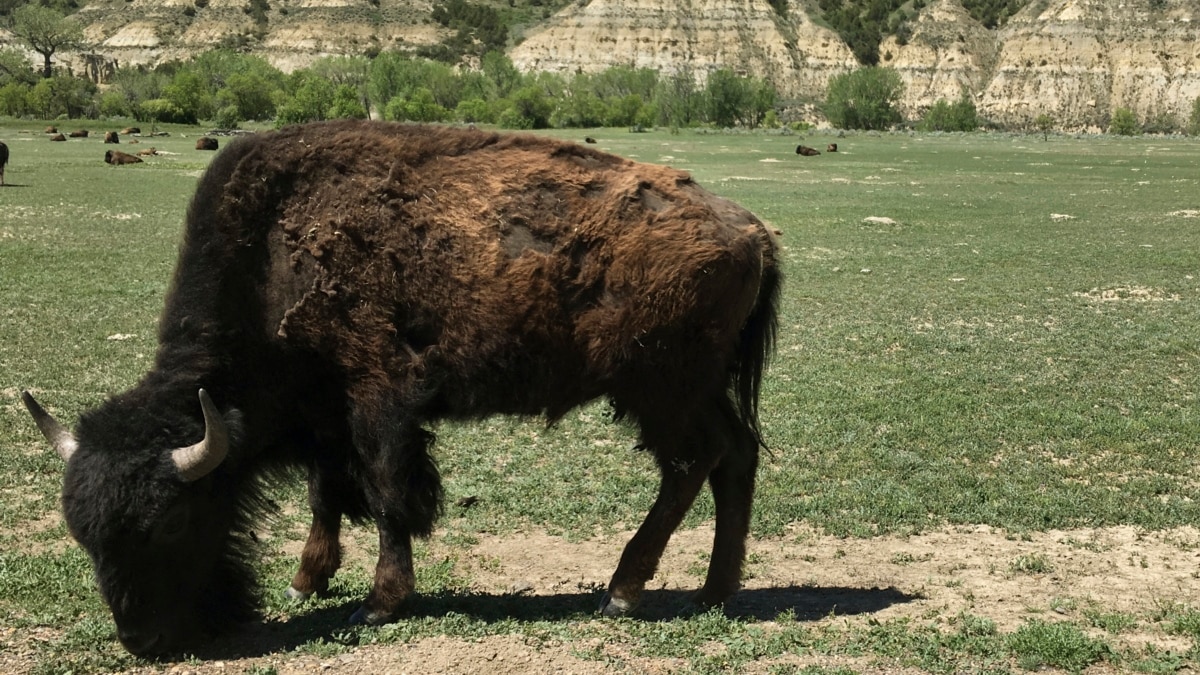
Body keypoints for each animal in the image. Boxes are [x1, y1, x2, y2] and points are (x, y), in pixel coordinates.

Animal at [23, 120, 780, 657]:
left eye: (174, 521)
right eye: (83, 535)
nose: (143, 639)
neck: (271, 255)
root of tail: (753, 231)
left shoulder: (378, 399)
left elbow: (388, 494)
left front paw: (380, 602)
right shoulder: (326, 413)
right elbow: (329, 493)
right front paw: (307, 579)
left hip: (660, 390)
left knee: (691, 464)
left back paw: (624, 591)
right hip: (695, 389)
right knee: (735, 456)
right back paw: (714, 591)